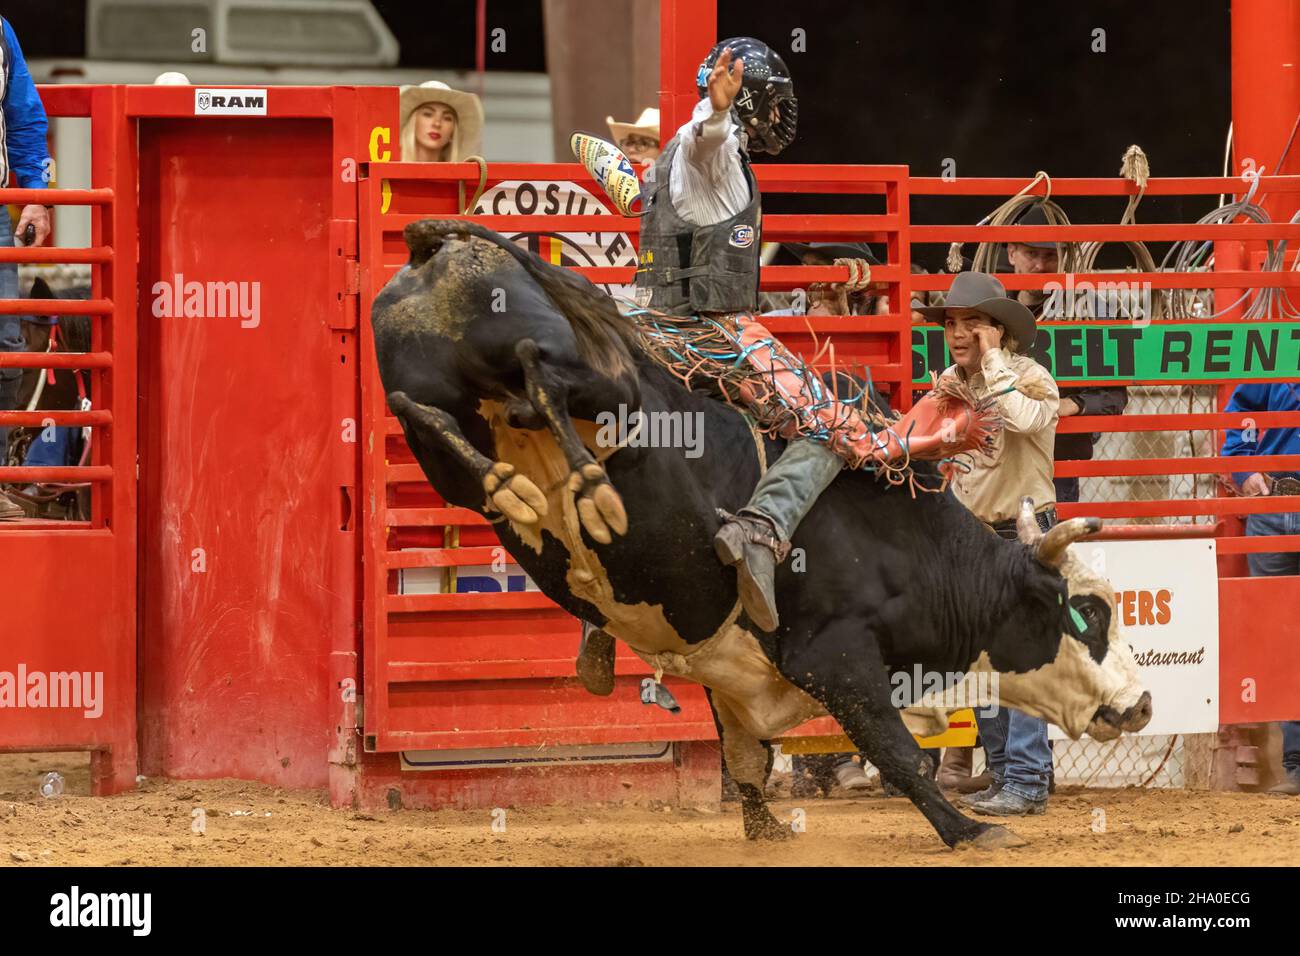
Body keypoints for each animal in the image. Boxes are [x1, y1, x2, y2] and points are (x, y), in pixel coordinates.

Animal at [370, 220, 1152, 850]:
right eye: (1087, 613)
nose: (1142, 705)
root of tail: (443, 250)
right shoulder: (836, 657)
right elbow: (899, 754)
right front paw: (970, 830)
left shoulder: (735, 671)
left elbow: (749, 756)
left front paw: (767, 829)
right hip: (597, 380)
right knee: (546, 377)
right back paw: (589, 490)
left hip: (441, 423)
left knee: (434, 415)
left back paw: (517, 486)